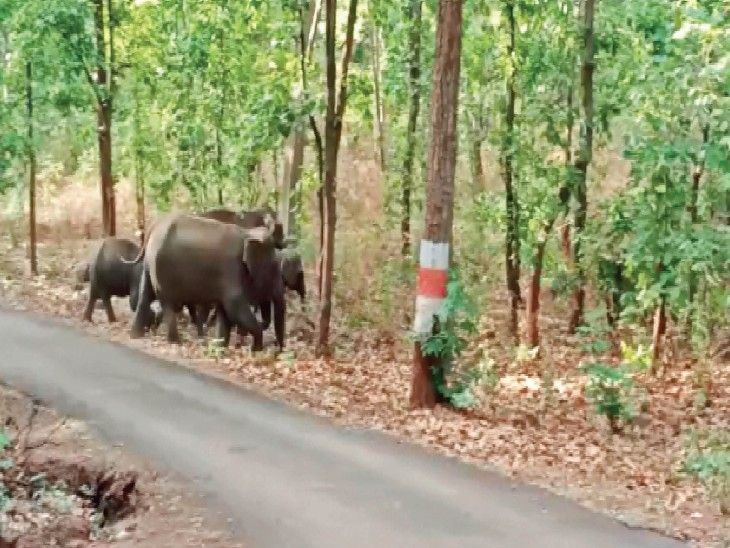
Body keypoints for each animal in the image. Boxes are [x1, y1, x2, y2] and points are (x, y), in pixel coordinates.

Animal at [127, 212, 282, 351]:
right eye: (275, 267)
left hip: (150, 263)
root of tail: (155, 226)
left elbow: (225, 312)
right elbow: (234, 305)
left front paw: (220, 348)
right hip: (161, 268)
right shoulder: (231, 269)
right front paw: (257, 349)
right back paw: (176, 342)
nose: (278, 350)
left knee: (145, 295)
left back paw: (136, 335)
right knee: (167, 302)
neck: (247, 233)